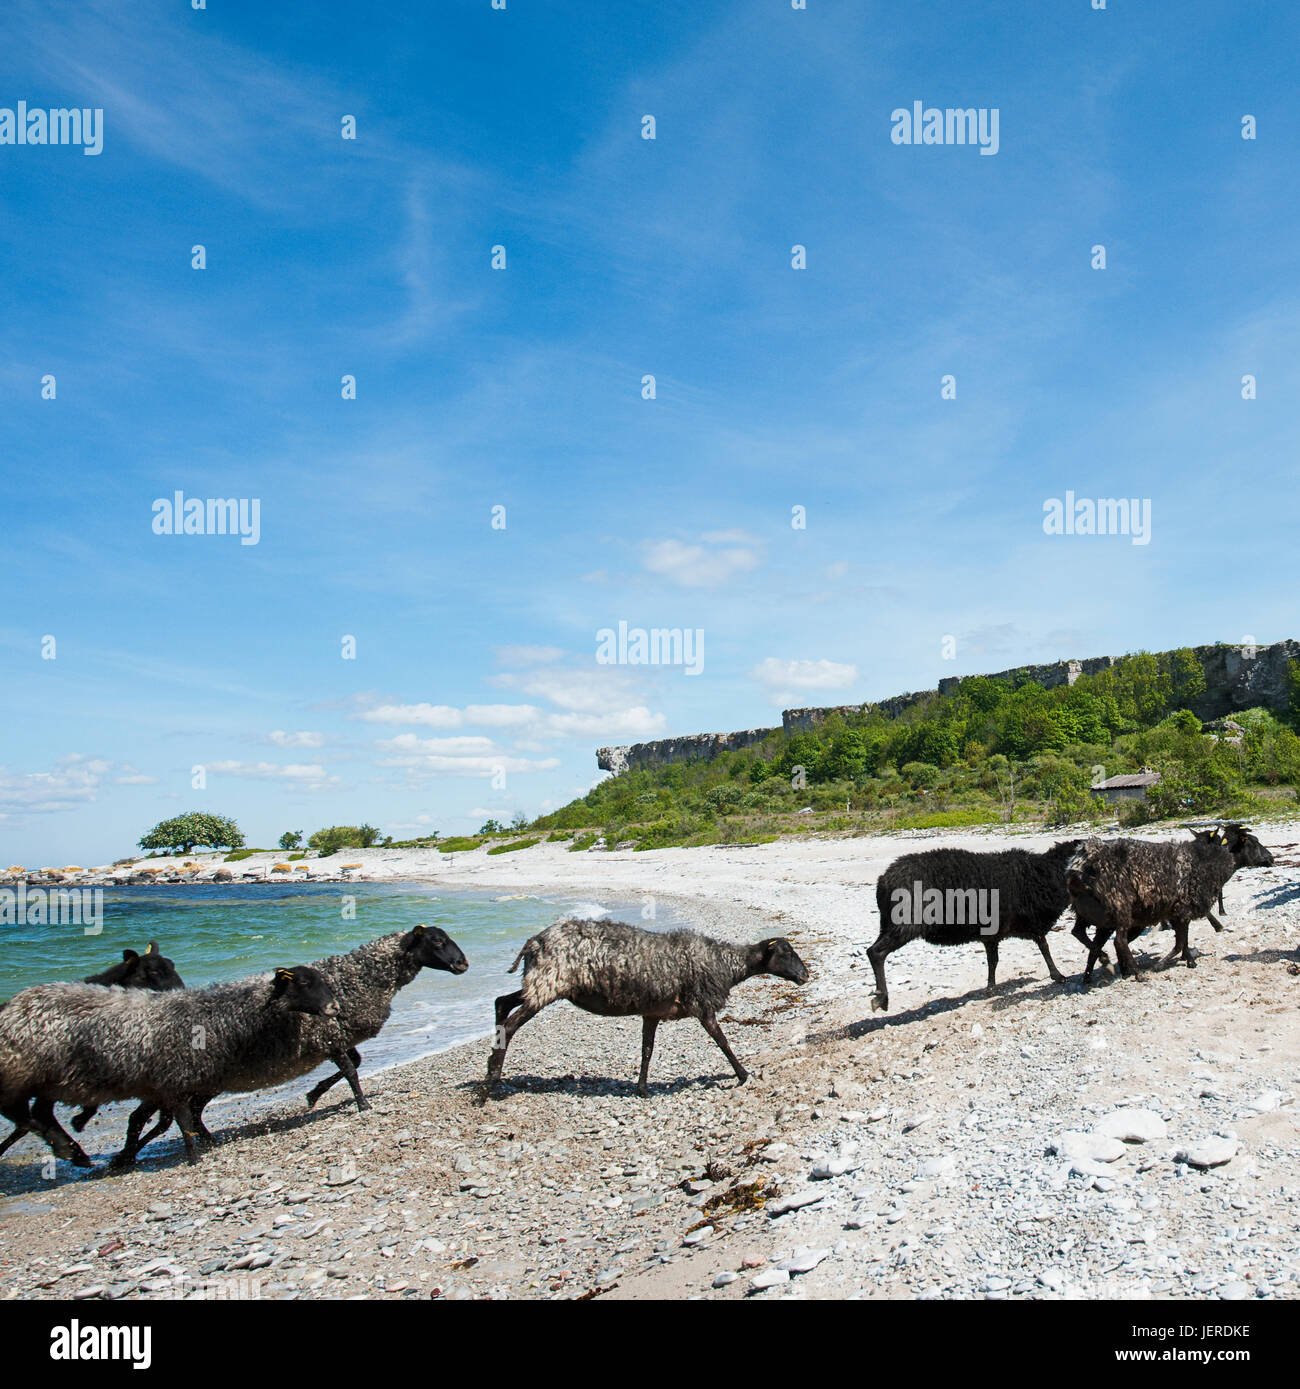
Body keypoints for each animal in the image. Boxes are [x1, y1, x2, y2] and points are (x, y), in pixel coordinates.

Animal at [0, 965, 337, 1168]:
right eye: (303, 983)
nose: (333, 1007)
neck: (214, 1015)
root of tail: (11, 1008)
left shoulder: (171, 1086)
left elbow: (167, 1121)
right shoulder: (172, 1082)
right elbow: (183, 1122)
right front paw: (194, 1157)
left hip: (51, 1081)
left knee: (40, 1112)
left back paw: (77, 1153)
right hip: (23, 1074)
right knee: (21, 1113)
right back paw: (67, 1149)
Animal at [485, 918, 809, 1097]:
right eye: (786, 953)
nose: (806, 975)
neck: (725, 963)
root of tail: (535, 941)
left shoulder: (652, 1012)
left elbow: (647, 1050)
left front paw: (641, 1089)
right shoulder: (702, 1006)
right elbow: (722, 1042)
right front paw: (742, 1074)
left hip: (543, 984)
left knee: (502, 1002)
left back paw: (490, 1072)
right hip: (548, 983)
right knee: (511, 1023)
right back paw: (492, 1081)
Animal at [867, 840, 1084, 1012]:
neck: (1042, 874)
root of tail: (883, 881)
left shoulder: (994, 934)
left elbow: (993, 960)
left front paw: (991, 988)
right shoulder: (1032, 923)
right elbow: (1044, 948)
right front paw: (1058, 976)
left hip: (888, 924)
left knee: (874, 951)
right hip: (905, 924)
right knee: (875, 952)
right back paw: (881, 998)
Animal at [1067, 823, 1274, 983]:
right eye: (1253, 841)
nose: (1271, 858)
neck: (1211, 862)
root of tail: (1079, 867)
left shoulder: (1177, 913)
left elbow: (1184, 941)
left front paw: (1189, 960)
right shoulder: (1183, 910)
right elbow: (1180, 942)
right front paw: (1162, 964)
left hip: (1091, 913)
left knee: (1079, 933)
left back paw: (1096, 970)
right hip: (1119, 907)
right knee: (1119, 941)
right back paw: (1137, 973)